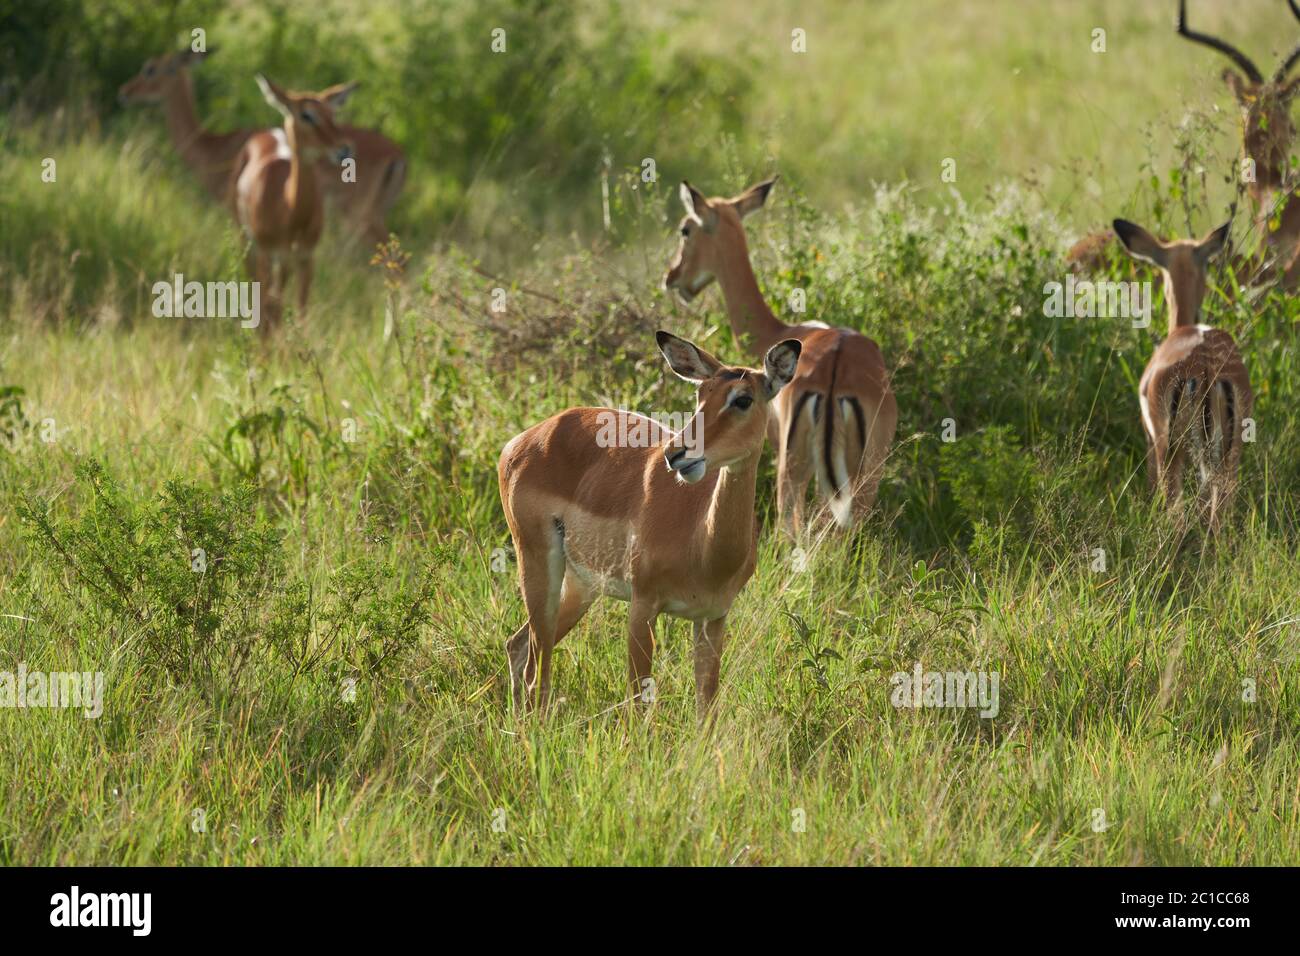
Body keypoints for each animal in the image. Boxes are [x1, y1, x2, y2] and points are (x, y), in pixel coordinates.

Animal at [232, 75, 355, 332]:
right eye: (306, 114)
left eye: (332, 113)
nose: (343, 148)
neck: (289, 211)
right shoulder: (267, 253)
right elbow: (269, 307)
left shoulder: (306, 257)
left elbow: (301, 313)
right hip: (246, 241)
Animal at [497, 331, 801, 717]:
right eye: (701, 395)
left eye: (743, 399)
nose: (677, 453)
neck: (703, 546)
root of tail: (522, 441)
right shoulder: (643, 607)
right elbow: (638, 706)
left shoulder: (712, 619)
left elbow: (706, 709)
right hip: (538, 564)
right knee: (536, 676)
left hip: (581, 585)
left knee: (517, 646)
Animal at [1113, 218, 1253, 534]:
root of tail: (1207, 367)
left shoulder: (1151, 439)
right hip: (1230, 452)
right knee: (1219, 513)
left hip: (1172, 449)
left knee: (1177, 514)